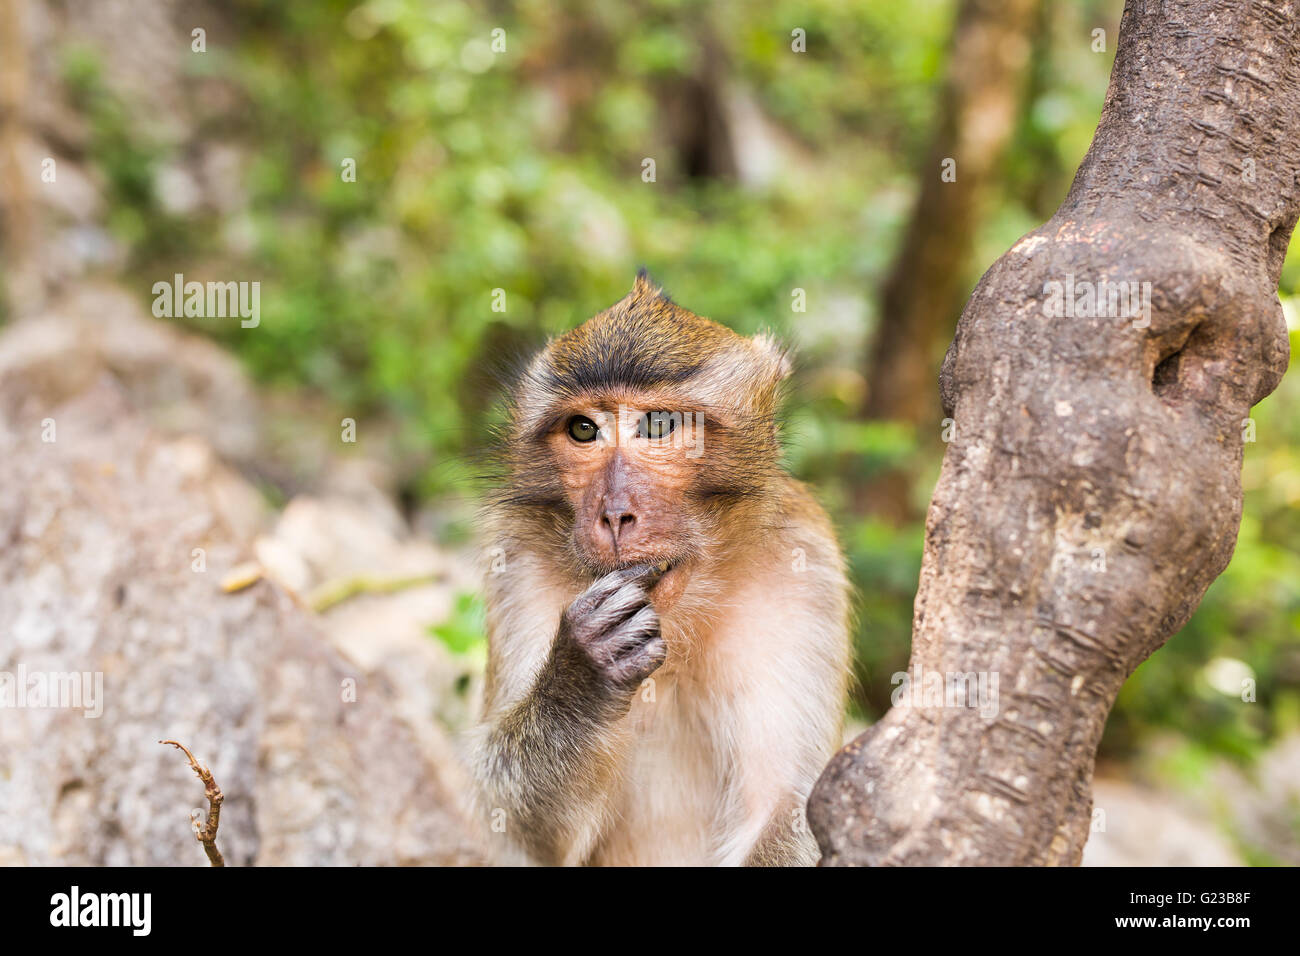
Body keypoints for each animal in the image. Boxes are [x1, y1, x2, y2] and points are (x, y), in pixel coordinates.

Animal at [470, 270, 851, 866]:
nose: (613, 513)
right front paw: (584, 674)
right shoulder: (518, 565)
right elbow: (520, 830)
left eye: (659, 425)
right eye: (583, 430)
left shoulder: (804, 567)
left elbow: (787, 807)